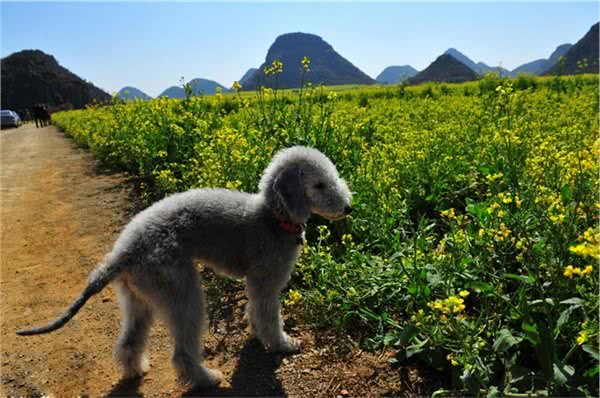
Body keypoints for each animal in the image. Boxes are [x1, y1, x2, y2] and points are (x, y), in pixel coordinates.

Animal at [15, 145, 352, 388]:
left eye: (333, 177)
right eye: (319, 184)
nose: (349, 207)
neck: (272, 216)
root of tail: (122, 253)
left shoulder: (255, 284)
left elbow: (255, 311)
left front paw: (259, 334)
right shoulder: (266, 280)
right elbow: (268, 316)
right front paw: (282, 344)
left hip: (138, 295)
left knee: (129, 341)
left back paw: (135, 370)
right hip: (178, 288)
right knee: (182, 352)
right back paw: (206, 379)